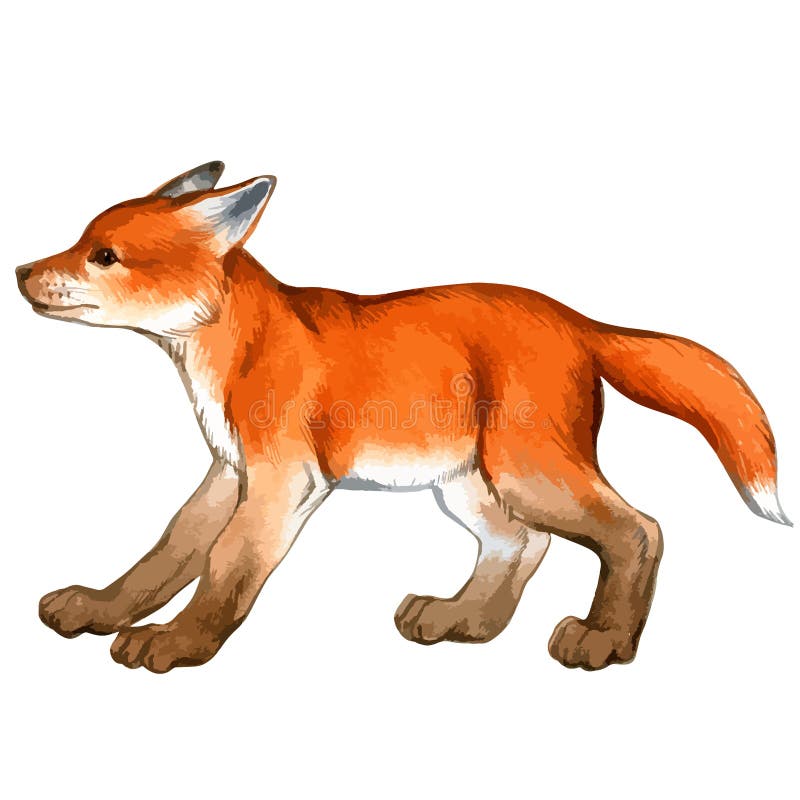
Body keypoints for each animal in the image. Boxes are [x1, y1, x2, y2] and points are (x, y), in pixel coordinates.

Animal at [16, 161, 791, 673]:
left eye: (104, 255)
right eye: (79, 240)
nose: (21, 271)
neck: (234, 349)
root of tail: (576, 319)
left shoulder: (283, 482)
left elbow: (225, 569)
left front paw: (177, 644)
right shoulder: (228, 473)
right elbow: (164, 555)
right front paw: (98, 608)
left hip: (527, 471)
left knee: (638, 530)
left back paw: (603, 640)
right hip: (471, 484)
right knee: (521, 543)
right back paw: (465, 621)